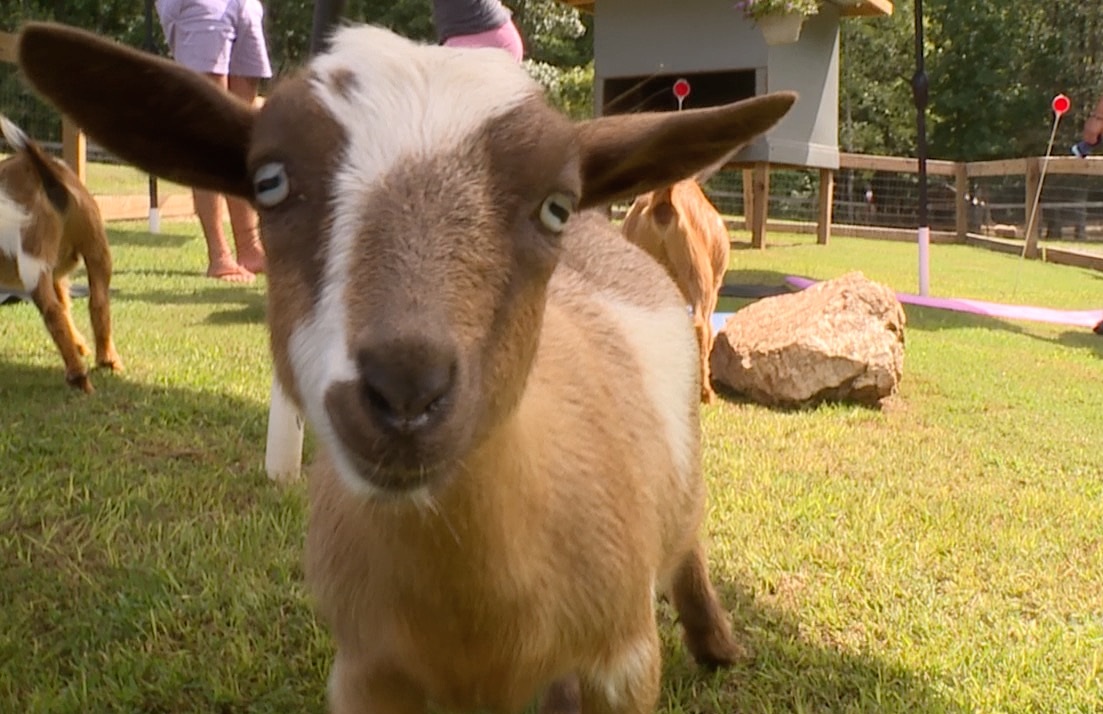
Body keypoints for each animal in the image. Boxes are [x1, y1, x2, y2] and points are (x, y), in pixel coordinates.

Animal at [0, 114, 119, 392]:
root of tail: (42, 172)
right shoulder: (55, 273)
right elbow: (67, 303)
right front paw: (80, 346)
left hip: (31, 257)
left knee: (53, 312)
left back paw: (78, 377)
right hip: (95, 245)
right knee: (97, 303)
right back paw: (106, 361)